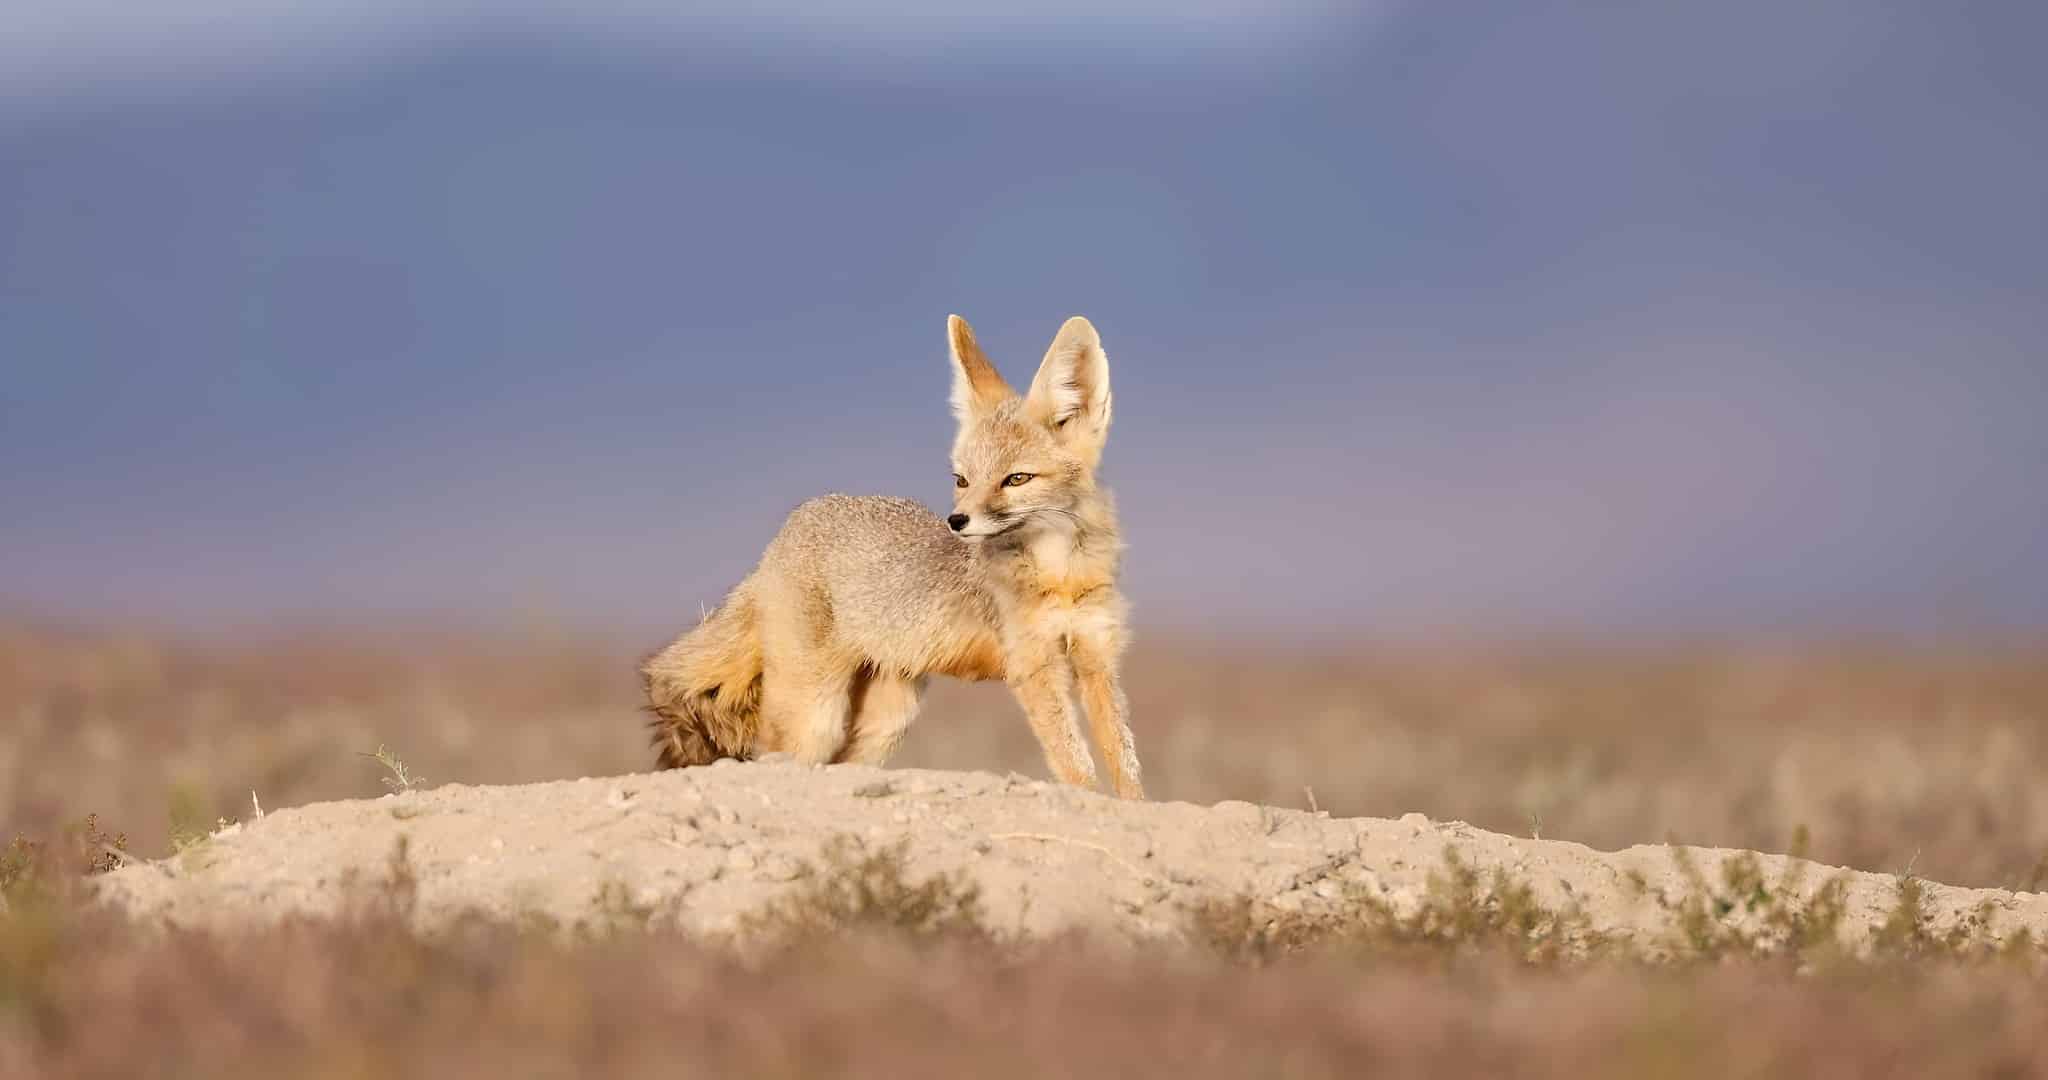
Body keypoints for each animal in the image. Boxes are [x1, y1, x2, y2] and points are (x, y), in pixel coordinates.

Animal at [640, 314, 1144, 799]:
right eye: (962, 480)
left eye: (1016, 479)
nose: (956, 521)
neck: (1063, 575)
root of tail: (785, 533)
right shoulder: (1035, 668)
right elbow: (1076, 766)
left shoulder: (1098, 659)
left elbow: (1124, 763)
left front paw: (1132, 807)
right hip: (816, 716)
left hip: (888, 719)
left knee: (843, 765)